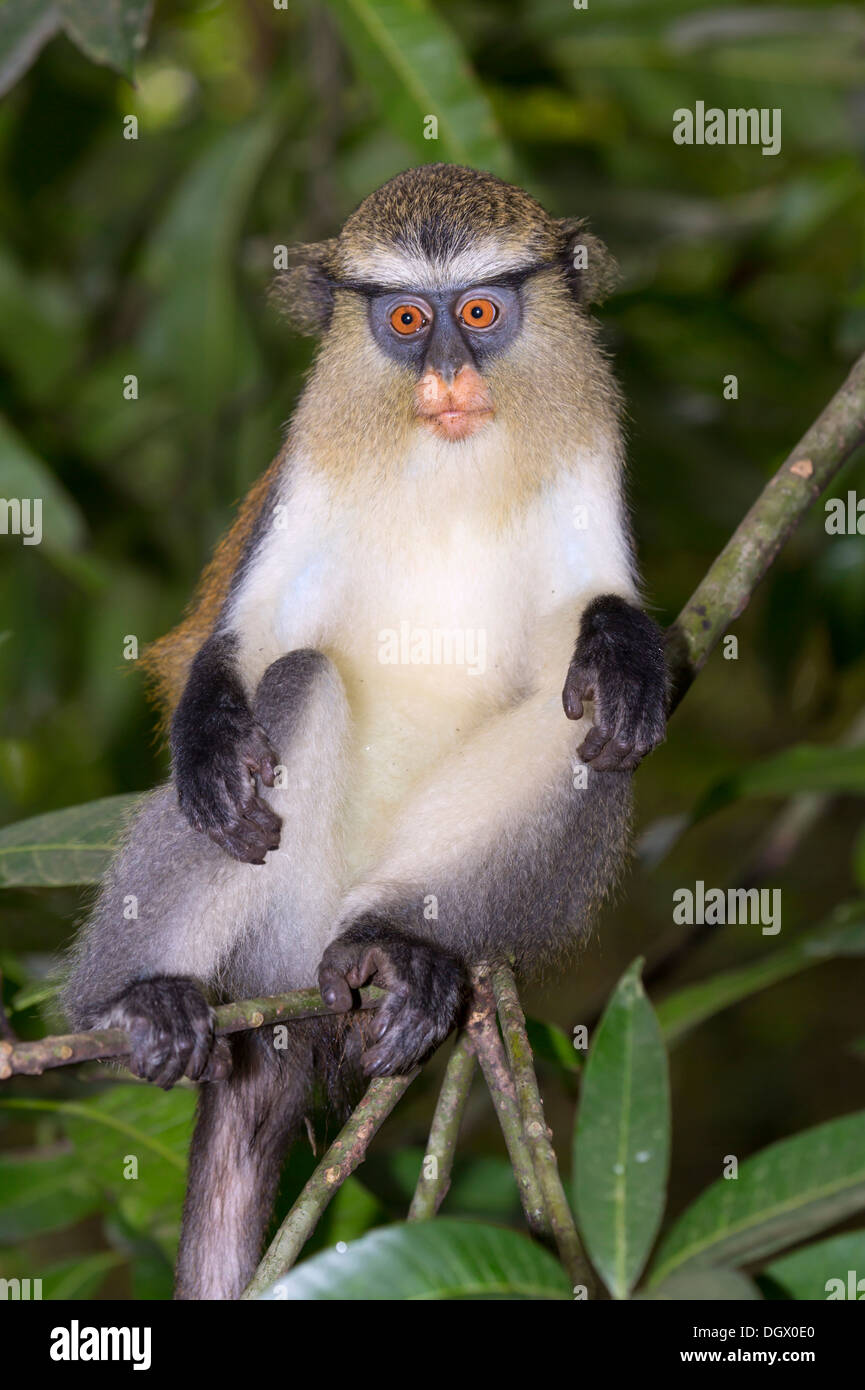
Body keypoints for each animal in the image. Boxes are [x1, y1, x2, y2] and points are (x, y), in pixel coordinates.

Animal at [61, 164, 667, 1300]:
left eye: (480, 313)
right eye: (405, 320)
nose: (445, 379)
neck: (448, 463)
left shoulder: (590, 459)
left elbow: (589, 641)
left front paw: (621, 648)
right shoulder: (307, 471)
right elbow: (248, 646)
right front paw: (206, 739)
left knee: (586, 735)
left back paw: (400, 949)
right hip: (274, 928)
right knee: (294, 687)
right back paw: (134, 1007)